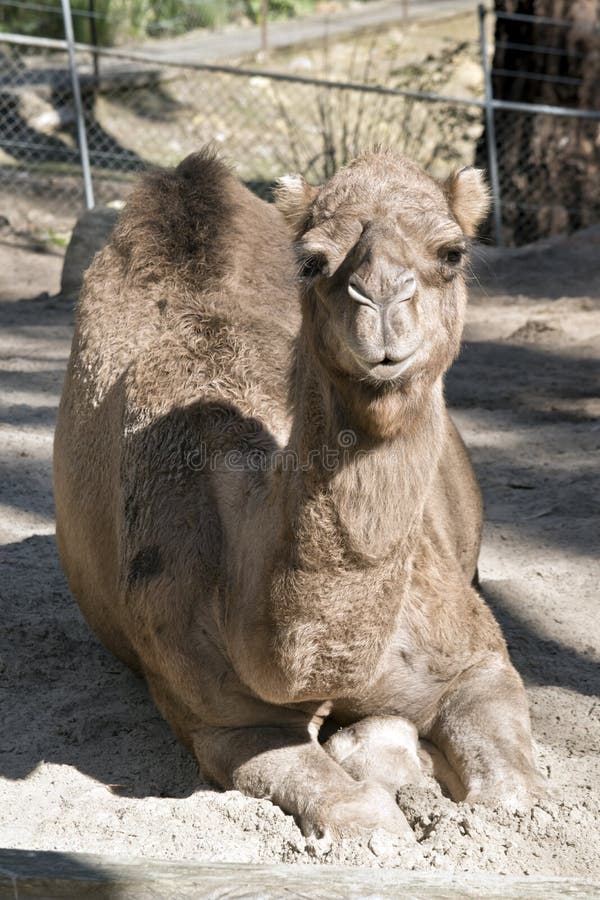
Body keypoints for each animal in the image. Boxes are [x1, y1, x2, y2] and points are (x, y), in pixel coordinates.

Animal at [54, 148, 546, 842]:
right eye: (312, 261)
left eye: (452, 252)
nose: (381, 299)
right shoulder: (226, 721)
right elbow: (363, 819)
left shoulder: (475, 661)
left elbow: (511, 795)